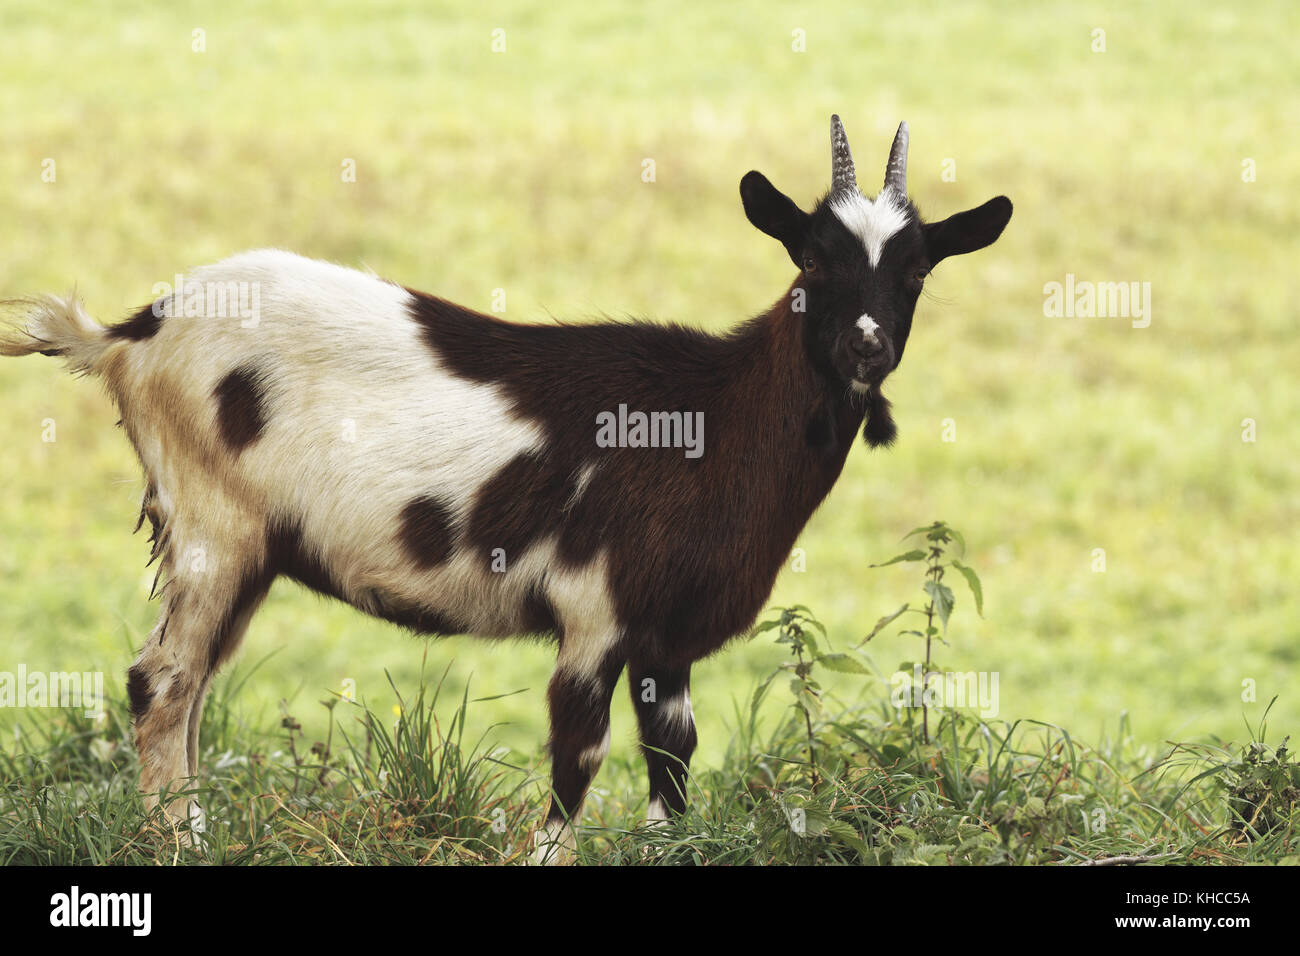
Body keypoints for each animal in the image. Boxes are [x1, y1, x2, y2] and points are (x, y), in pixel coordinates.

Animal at [0, 116, 1011, 861]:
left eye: (917, 270)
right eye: (813, 260)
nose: (866, 347)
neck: (713, 415)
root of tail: (130, 332)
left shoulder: (666, 635)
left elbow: (671, 767)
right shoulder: (592, 612)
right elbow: (576, 763)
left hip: (249, 550)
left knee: (195, 684)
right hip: (214, 525)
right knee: (163, 680)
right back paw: (179, 844)